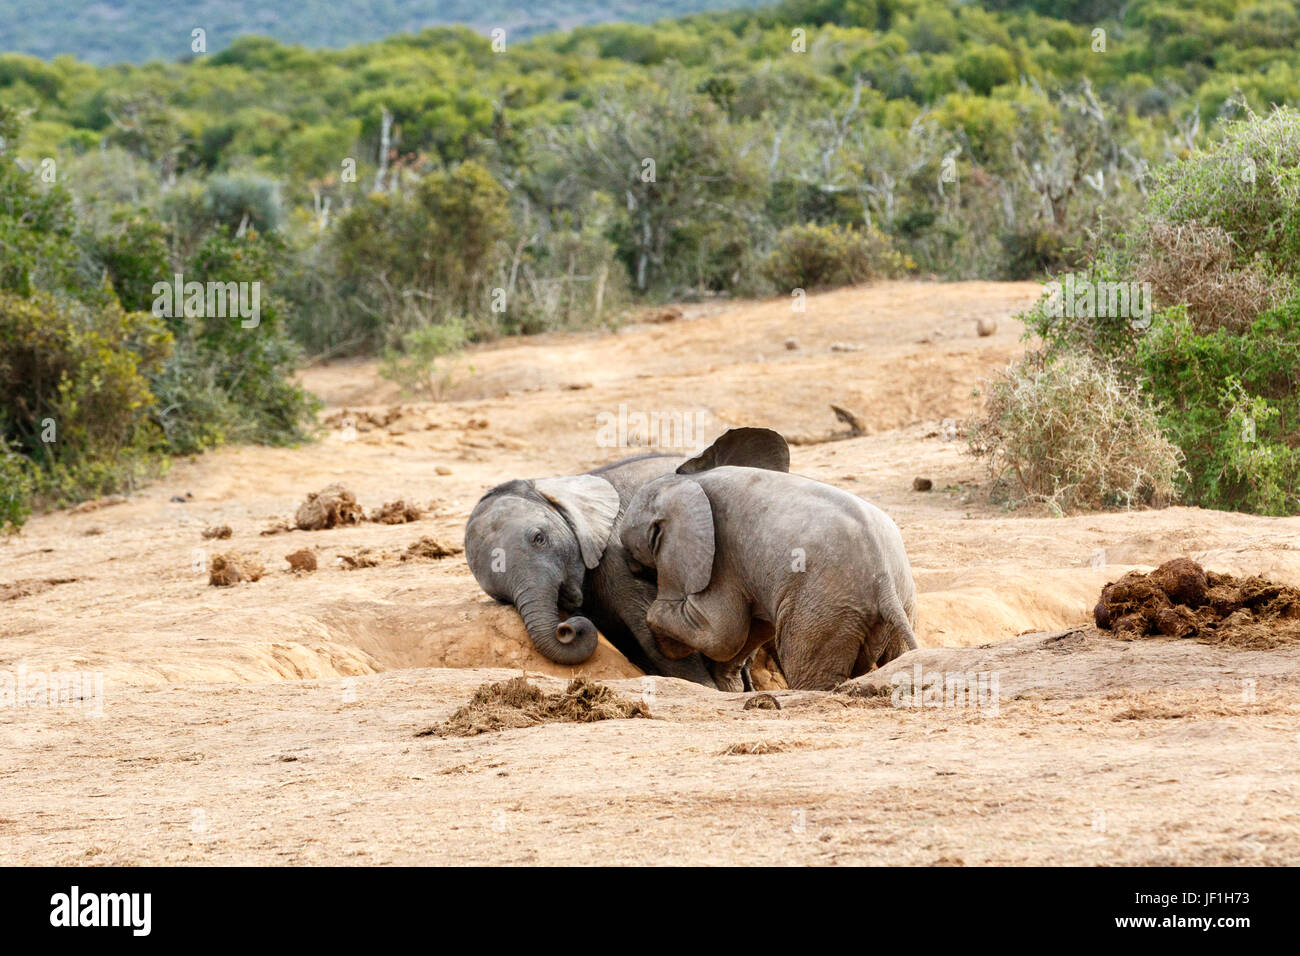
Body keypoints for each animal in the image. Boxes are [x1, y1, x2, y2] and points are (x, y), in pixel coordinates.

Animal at [463, 427, 790, 688]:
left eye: (539, 538)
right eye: (500, 596)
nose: (566, 627)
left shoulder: (620, 551)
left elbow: (651, 625)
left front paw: (709, 689)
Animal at [620, 465, 919, 691]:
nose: (629, 565)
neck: (684, 481)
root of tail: (884, 583)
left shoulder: (720, 556)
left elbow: (724, 632)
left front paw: (658, 625)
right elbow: (753, 627)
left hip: (824, 606)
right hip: (899, 605)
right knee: (896, 654)